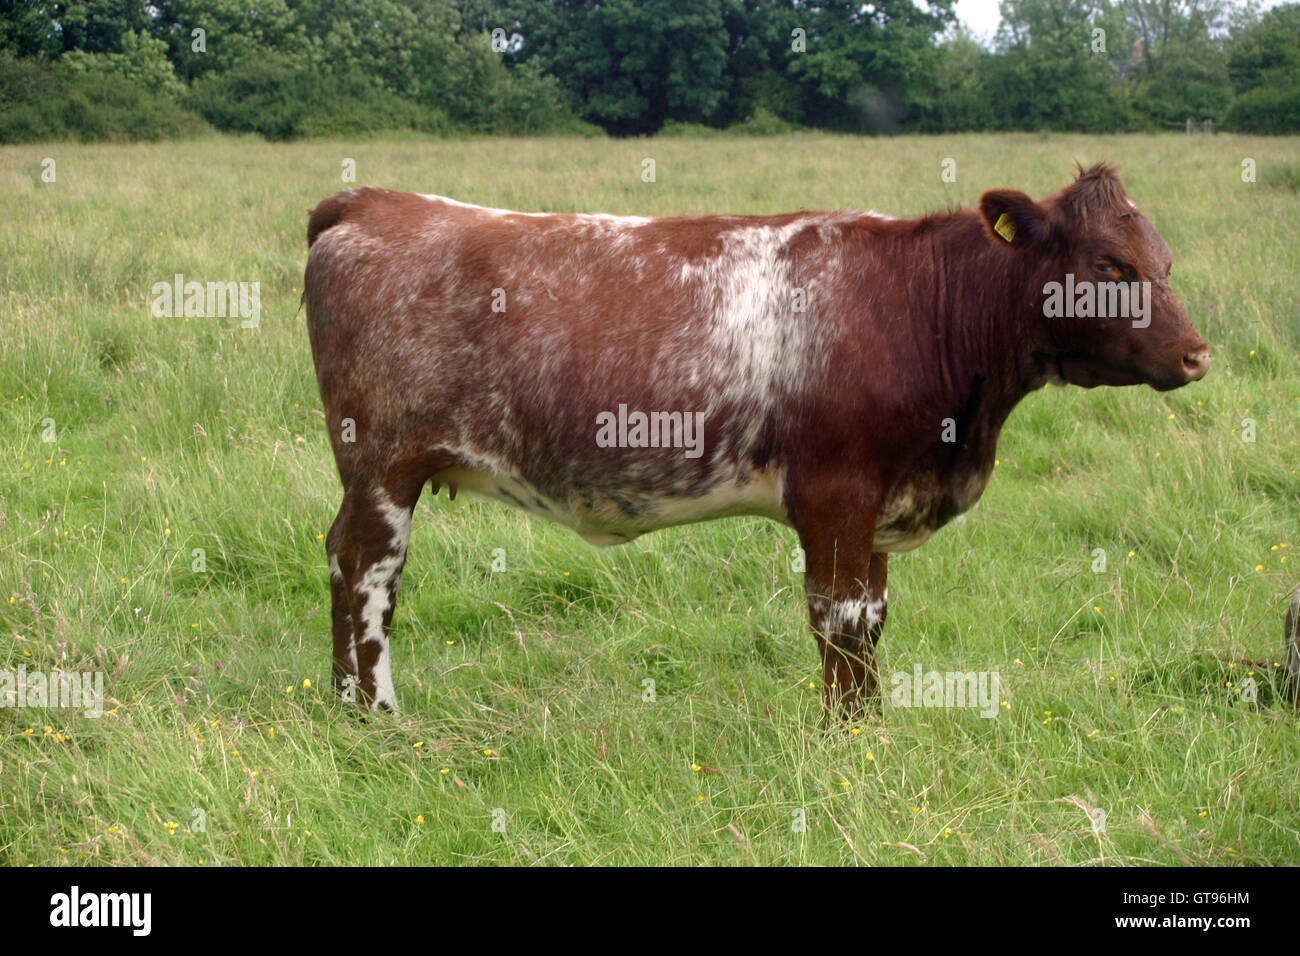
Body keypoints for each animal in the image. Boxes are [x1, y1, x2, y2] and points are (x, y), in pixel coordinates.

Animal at [303, 164, 1210, 718]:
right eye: (1109, 264)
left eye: (1163, 260)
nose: (1197, 354)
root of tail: (373, 201)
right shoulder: (838, 493)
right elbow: (841, 621)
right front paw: (849, 739)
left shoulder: (880, 504)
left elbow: (873, 617)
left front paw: (871, 723)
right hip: (382, 464)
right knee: (367, 571)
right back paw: (379, 712)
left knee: (340, 558)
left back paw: (347, 707)